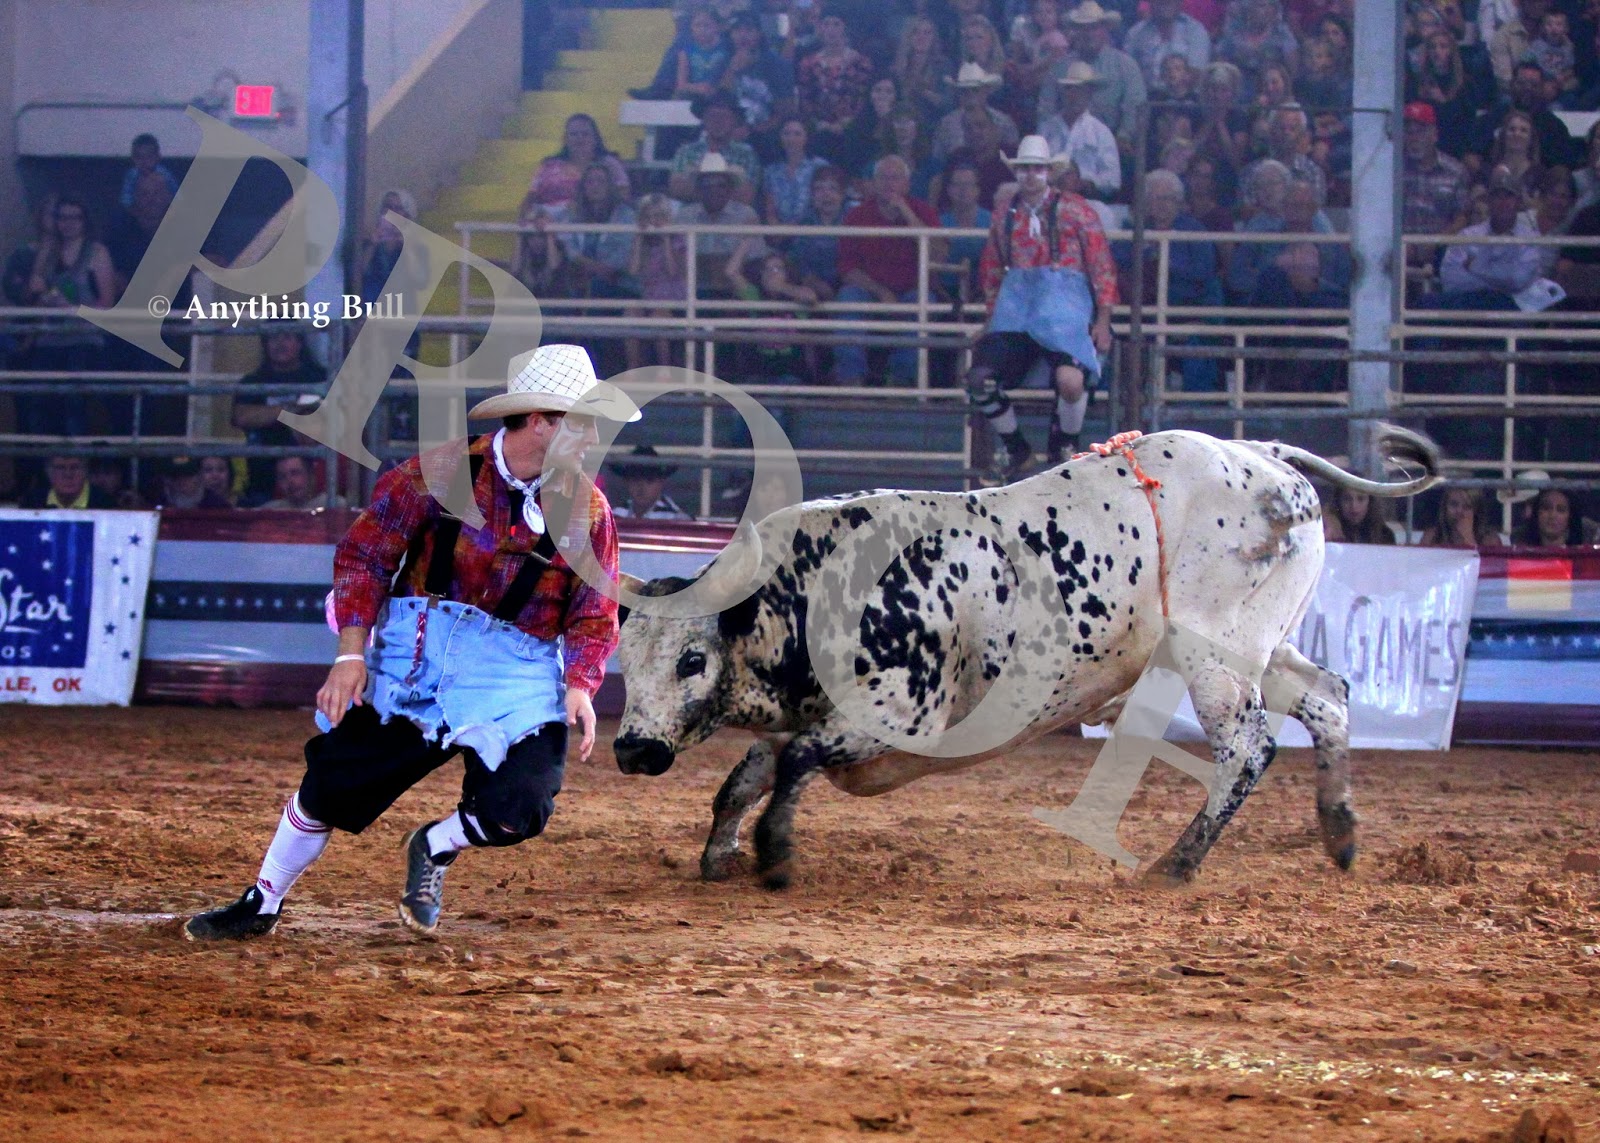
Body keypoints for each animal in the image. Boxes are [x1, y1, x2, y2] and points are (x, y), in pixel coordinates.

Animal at [612, 427, 1439, 890]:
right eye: (628, 654)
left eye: (692, 659)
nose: (631, 749)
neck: (813, 587)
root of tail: (1262, 457)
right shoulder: (801, 711)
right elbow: (745, 776)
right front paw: (718, 855)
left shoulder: (901, 715)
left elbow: (792, 762)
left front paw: (774, 853)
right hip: (1265, 643)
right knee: (1328, 695)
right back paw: (1339, 830)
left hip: (1218, 658)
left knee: (1248, 747)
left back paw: (1177, 865)